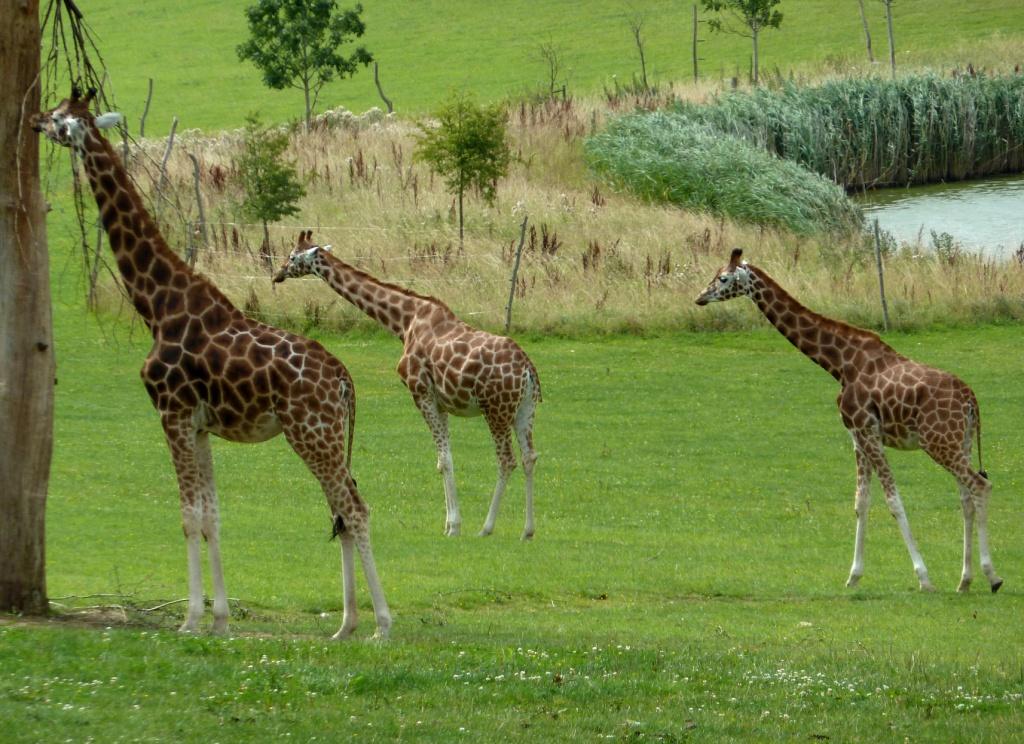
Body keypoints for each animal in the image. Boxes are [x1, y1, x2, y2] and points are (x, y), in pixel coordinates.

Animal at [33, 88, 391, 638]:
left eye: (57, 117)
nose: (32, 121)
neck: (158, 305)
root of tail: (346, 381)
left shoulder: (172, 414)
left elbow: (187, 517)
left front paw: (190, 620)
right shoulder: (200, 425)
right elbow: (211, 516)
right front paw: (220, 619)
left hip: (311, 432)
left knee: (354, 507)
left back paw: (382, 625)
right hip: (323, 436)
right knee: (341, 506)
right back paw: (347, 624)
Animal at [273, 231, 541, 539]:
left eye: (293, 255)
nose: (278, 273)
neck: (404, 322)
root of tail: (527, 369)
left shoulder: (420, 392)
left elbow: (443, 460)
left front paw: (453, 526)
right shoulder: (440, 401)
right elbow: (445, 458)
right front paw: (449, 523)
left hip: (496, 409)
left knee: (507, 459)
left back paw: (486, 527)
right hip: (524, 409)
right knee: (529, 456)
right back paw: (527, 530)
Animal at [695, 248, 1002, 593]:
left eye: (723, 278)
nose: (700, 297)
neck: (840, 363)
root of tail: (972, 400)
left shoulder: (867, 431)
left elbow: (894, 502)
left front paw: (924, 578)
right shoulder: (857, 435)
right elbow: (861, 502)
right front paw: (853, 576)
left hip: (938, 442)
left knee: (980, 485)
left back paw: (993, 577)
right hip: (959, 441)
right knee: (966, 496)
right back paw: (964, 580)